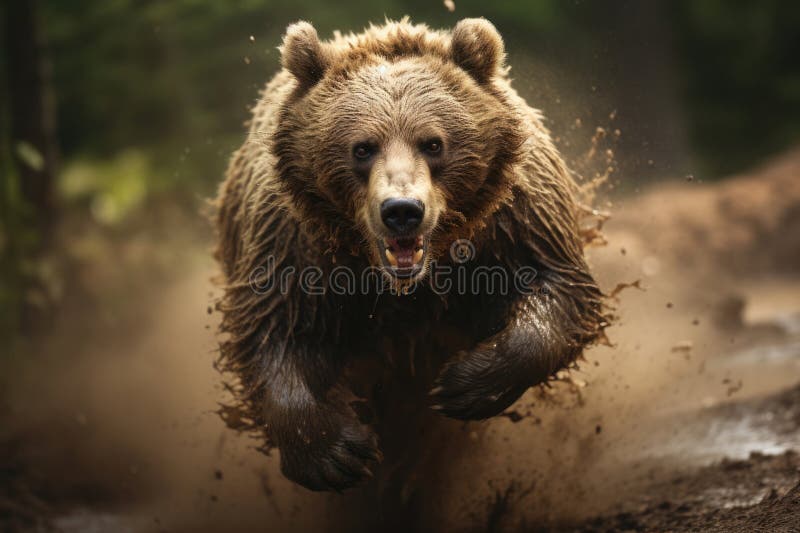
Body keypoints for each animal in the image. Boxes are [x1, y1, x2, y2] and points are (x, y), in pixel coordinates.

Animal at [213, 17, 605, 493]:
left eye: (433, 143)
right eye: (363, 147)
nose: (402, 210)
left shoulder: (513, 218)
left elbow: (558, 285)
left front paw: (462, 384)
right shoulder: (296, 242)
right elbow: (276, 326)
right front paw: (334, 453)